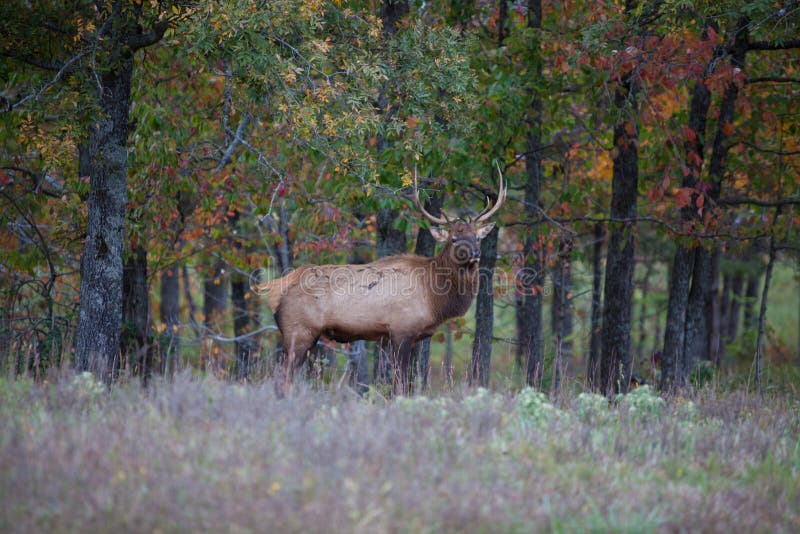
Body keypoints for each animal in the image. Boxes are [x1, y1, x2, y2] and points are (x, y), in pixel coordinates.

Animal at [254, 167, 506, 393]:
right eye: (454, 238)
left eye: (476, 237)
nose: (476, 253)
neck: (435, 299)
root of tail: (274, 289)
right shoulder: (402, 329)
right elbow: (400, 384)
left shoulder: (407, 336)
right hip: (299, 331)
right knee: (282, 378)